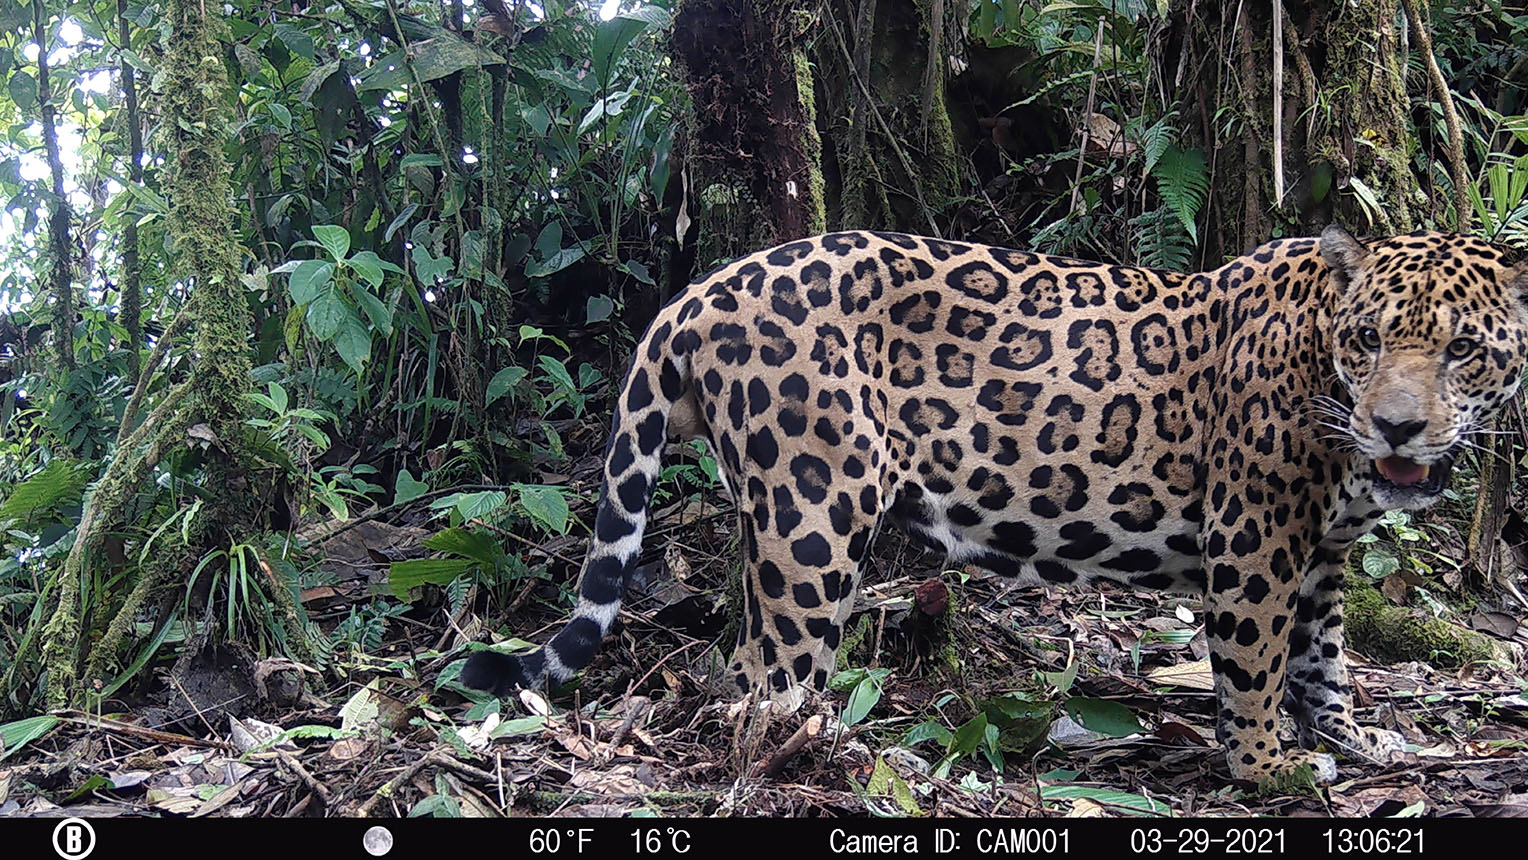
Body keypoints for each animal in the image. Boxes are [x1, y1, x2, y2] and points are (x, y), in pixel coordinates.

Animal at [463, 225, 1528, 784]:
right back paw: (822, 753)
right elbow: (1259, 662)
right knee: (766, 673)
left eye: (1461, 351)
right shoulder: (1258, 536)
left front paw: (1352, 738)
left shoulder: (1325, 552)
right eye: (1367, 339)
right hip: (815, 509)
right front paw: (1270, 767)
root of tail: (699, 291)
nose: (1397, 429)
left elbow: (1324, 658)